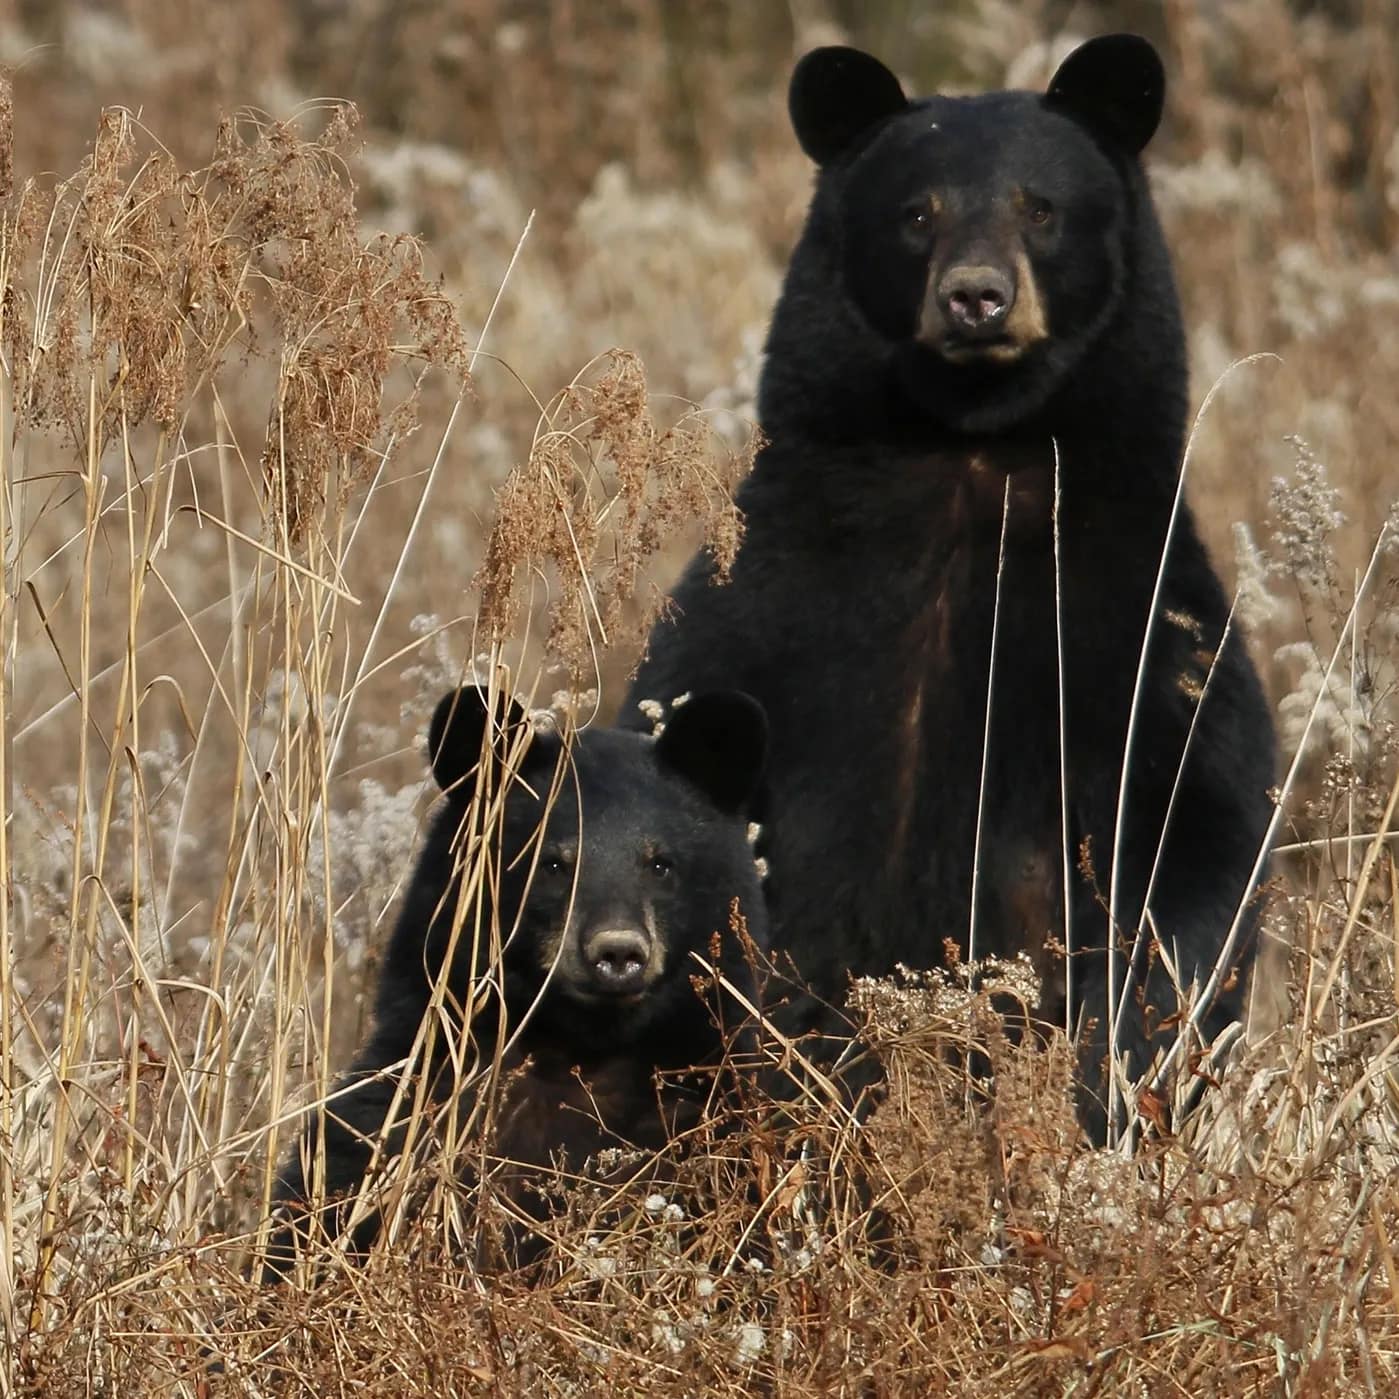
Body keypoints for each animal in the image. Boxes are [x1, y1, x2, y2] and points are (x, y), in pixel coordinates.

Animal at [269, 683, 770, 1274]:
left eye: (660, 864)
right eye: (551, 864)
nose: (618, 952)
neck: (578, 1049)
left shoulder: (705, 1125)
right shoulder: (404, 1119)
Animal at [624, 34, 1276, 1136]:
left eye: (1040, 207)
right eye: (916, 211)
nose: (977, 296)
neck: (974, 457)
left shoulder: (1136, 624)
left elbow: (1196, 834)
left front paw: (1107, 1068)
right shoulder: (760, 611)